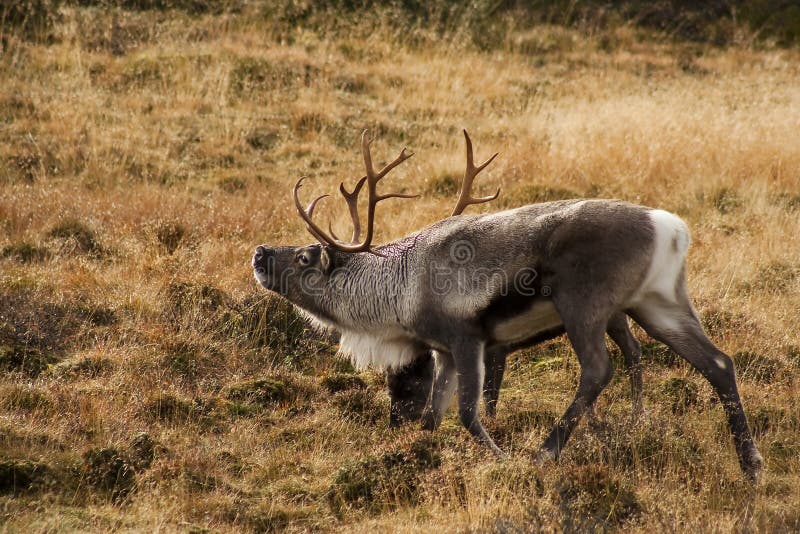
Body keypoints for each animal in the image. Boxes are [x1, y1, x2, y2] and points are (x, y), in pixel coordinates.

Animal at [252, 130, 763, 482]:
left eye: (304, 256)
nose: (258, 252)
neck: (399, 288)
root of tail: (672, 229)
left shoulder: (467, 337)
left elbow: (468, 413)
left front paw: (501, 457)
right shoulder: (443, 351)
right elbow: (434, 416)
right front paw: (422, 456)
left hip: (585, 306)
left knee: (599, 370)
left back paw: (545, 452)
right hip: (658, 304)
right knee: (719, 363)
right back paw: (751, 464)